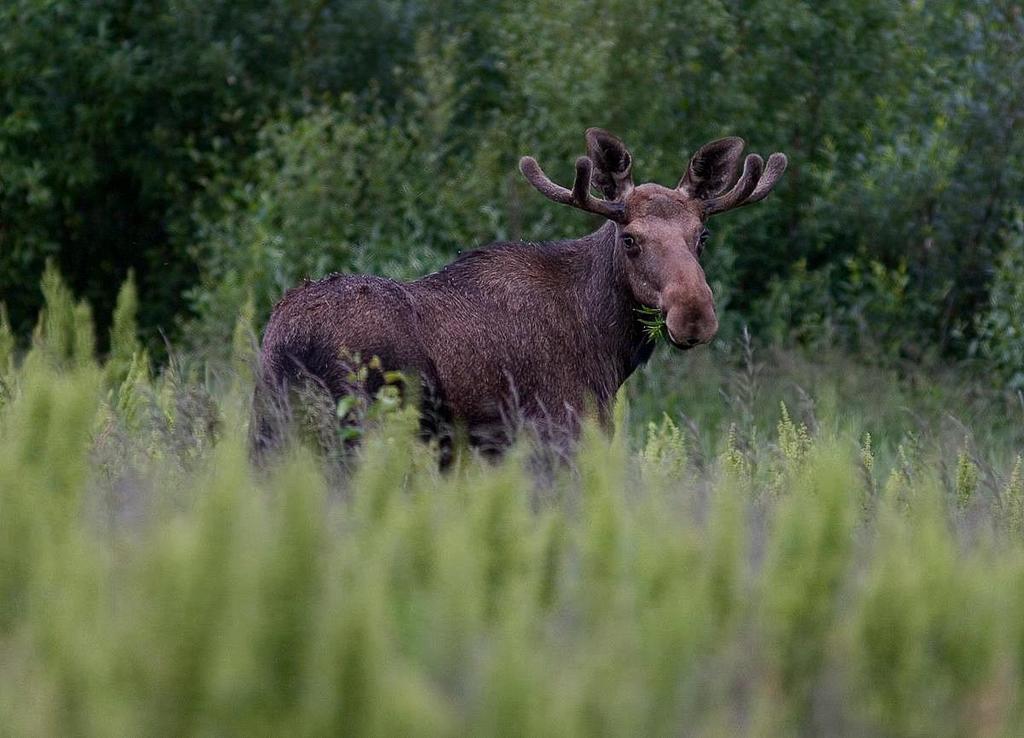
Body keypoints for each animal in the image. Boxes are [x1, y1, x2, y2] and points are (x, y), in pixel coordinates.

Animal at [251, 129, 787, 465]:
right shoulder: (558, 431)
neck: (608, 346)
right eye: (630, 239)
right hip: (363, 426)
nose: (693, 315)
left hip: (269, 425)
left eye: (702, 236)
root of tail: (289, 339)